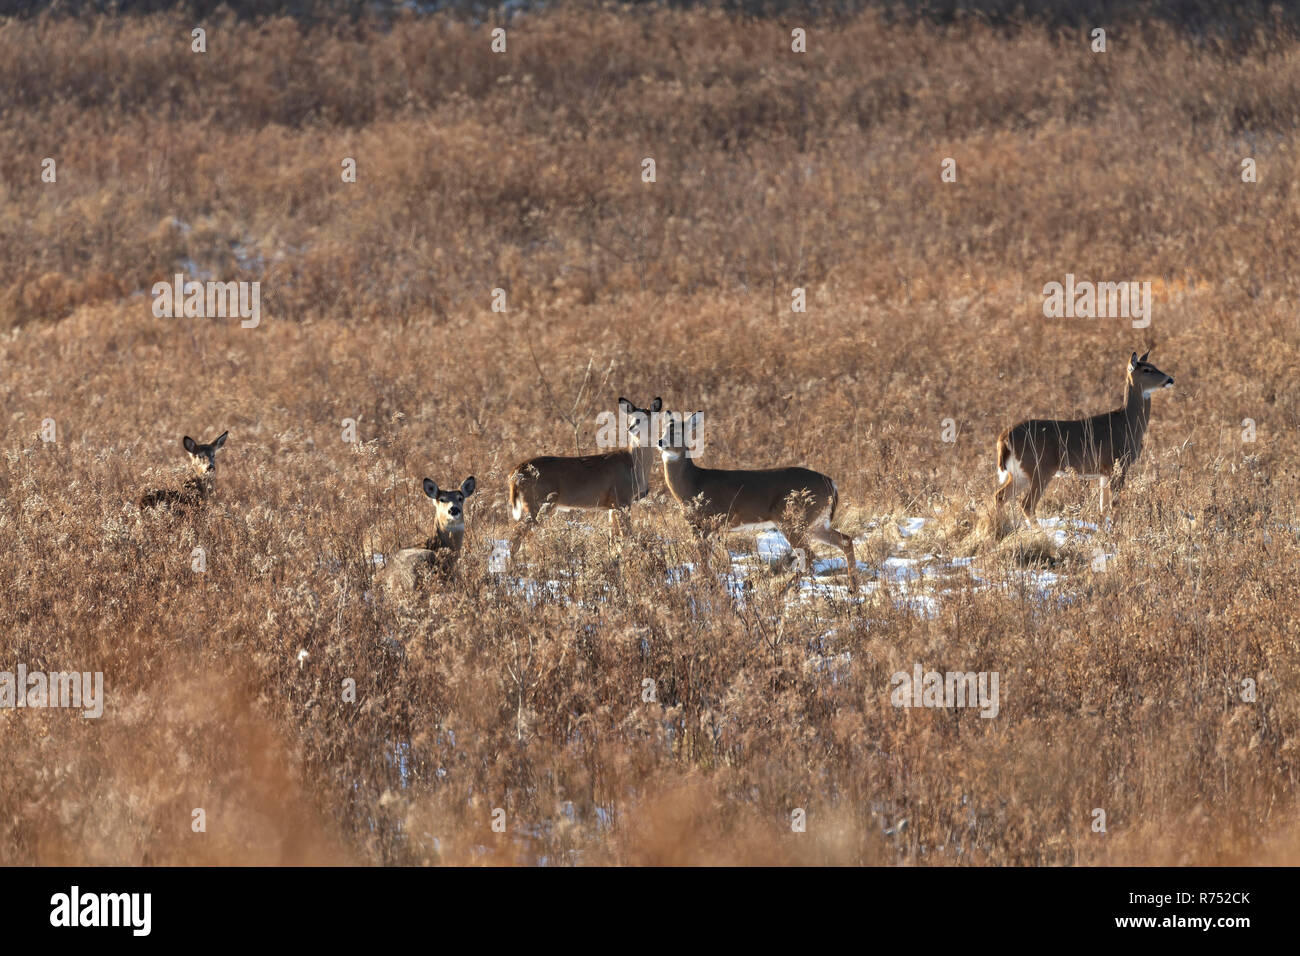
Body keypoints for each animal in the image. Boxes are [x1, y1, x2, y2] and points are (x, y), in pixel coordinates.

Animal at [506, 397, 662, 555]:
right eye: (631, 418)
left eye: (645, 418)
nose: (630, 428)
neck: (633, 464)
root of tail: (515, 473)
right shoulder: (622, 498)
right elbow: (626, 534)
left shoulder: (612, 504)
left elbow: (613, 537)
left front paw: (615, 555)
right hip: (539, 501)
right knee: (517, 531)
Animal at [656, 411, 858, 594]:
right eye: (663, 429)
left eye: (678, 432)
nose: (660, 442)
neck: (693, 483)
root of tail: (831, 483)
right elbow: (705, 559)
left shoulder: (710, 521)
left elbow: (704, 560)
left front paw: (710, 588)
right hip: (816, 522)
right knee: (845, 540)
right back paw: (852, 588)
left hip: (793, 518)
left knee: (809, 554)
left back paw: (782, 591)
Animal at [994, 349, 1175, 529]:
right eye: (1147, 370)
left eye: (1154, 365)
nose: (1170, 379)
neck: (1126, 423)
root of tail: (1004, 438)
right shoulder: (1118, 463)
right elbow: (1115, 504)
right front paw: (1116, 529)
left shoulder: (1104, 470)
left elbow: (1103, 507)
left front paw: (1104, 530)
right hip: (1040, 467)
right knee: (1026, 504)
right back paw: (1041, 532)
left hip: (1020, 472)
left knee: (999, 496)